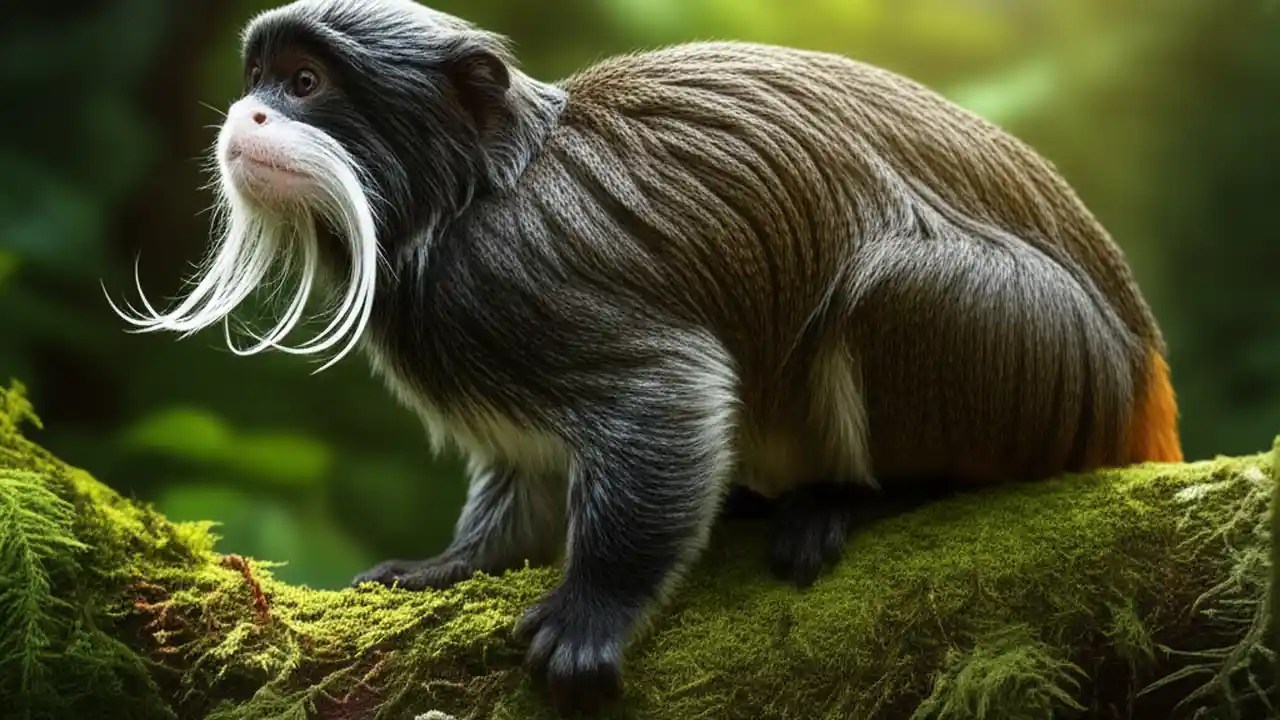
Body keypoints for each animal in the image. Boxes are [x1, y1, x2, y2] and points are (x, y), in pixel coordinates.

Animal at [106, 0, 1184, 715]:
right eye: (258, 83)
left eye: (304, 86)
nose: (244, 116)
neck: (474, 193)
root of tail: (1139, 368)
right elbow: (521, 475)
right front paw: (452, 565)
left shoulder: (521, 272)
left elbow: (666, 393)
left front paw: (595, 610)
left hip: (1048, 360)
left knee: (891, 284)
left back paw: (869, 496)